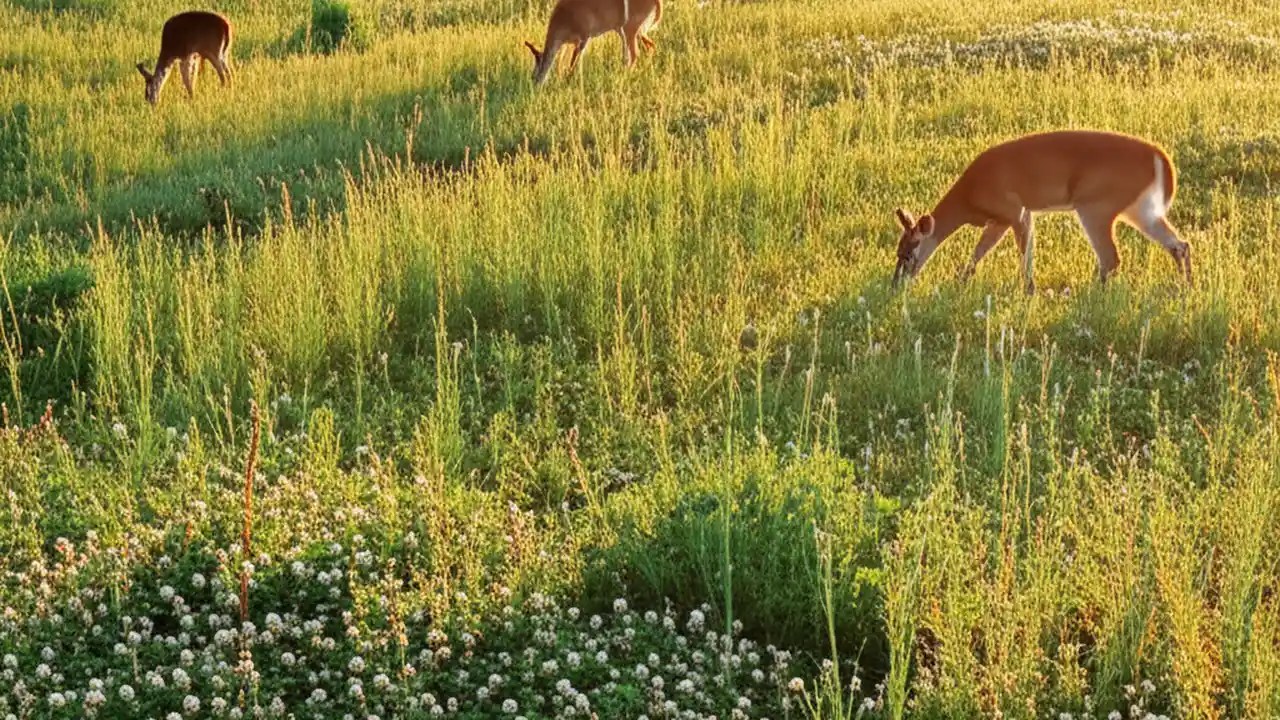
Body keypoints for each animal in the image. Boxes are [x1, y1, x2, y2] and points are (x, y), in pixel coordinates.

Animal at [524, 0, 662, 85]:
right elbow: (563, 62)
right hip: (632, 32)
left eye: (534, 74)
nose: (535, 83)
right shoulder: (569, 43)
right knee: (649, 46)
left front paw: (569, 79)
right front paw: (562, 77)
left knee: (634, 54)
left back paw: (623, 76)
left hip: (629, 30)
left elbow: (574, 62)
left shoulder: (584, 37)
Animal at [891, 130, 1191, 294]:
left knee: (1111, 258)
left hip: (1096, 205)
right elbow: (980, 252)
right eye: (898, 250)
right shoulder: (1006, 218)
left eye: (907, 253)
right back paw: (1185, 287)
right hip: (1139, 208)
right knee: (1179, 244)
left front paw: (1028, 291)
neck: (969, 196)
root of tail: (1160, 159)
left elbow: (1022, 253)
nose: (895, 284)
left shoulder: (1012, 210)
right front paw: (961, 282)